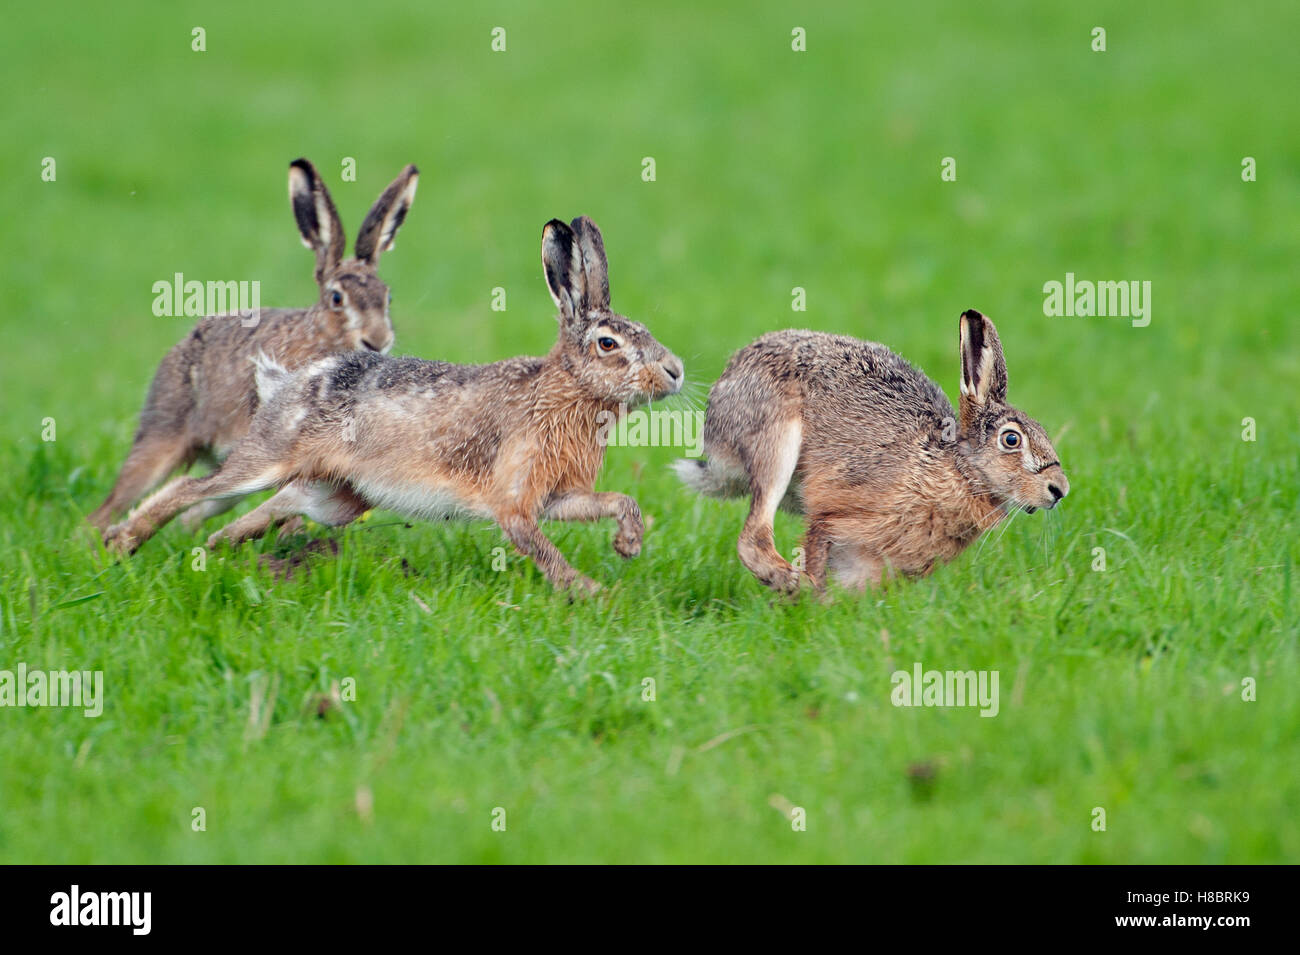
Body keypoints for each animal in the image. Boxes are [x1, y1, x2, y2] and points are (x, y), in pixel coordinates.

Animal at [88, 158, 419, 532]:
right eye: (337, 298)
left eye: (387, 298)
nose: (378, 340)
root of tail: (182, 346)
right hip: (165, 435)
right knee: (115, 504)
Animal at [102, 216, 685, 593]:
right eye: (608, 344)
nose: (675, 371)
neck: (567, 394)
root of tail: (294, 379)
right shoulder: (514, 502)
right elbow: (541, 548)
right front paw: (591, 592)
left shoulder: (557, 495)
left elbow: (617, 501)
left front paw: (628, 545)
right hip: (271, 455)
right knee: (191, 488)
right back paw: (121, 542)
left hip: (338, 496)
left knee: (275, 505)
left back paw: (220, 546)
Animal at [674, 310, 1069, 593]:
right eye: (1011, 439)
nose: (1059, 490)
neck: (956, 470)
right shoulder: (836, 515)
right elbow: (815, 545)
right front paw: (809, 602)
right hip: (776, 442)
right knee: (753, 537)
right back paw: (790, 582)